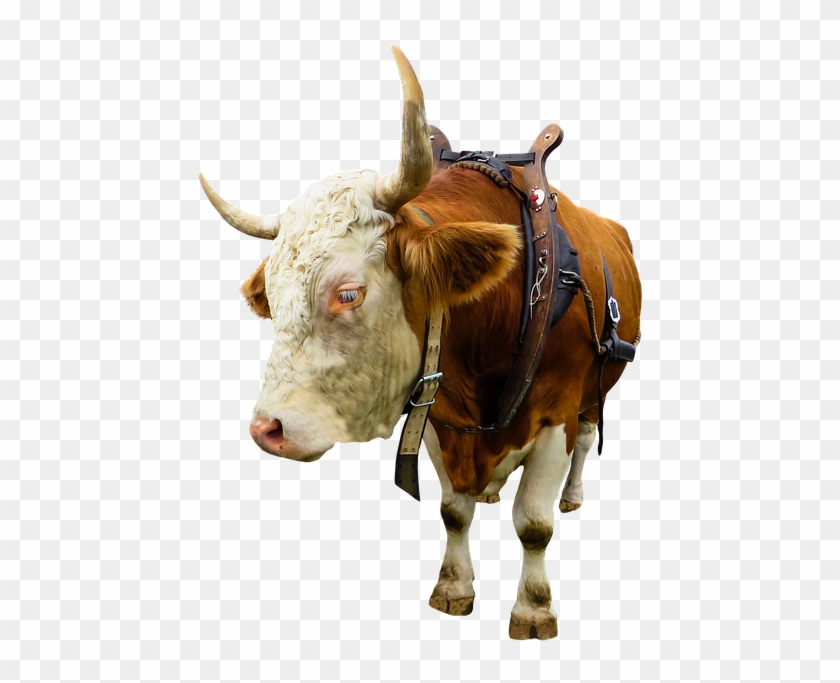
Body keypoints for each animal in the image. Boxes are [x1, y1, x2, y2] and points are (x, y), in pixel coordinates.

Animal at [199, 45, 641, 640]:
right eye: (270, 293)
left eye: (349, 293)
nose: (267, 429)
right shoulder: (437, 415)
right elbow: (454, 511)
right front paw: (453, 587)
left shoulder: (556, 414)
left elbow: (533, 523)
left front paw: (533, 607)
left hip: (597, 389)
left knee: (590, 433)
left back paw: (572, 497)